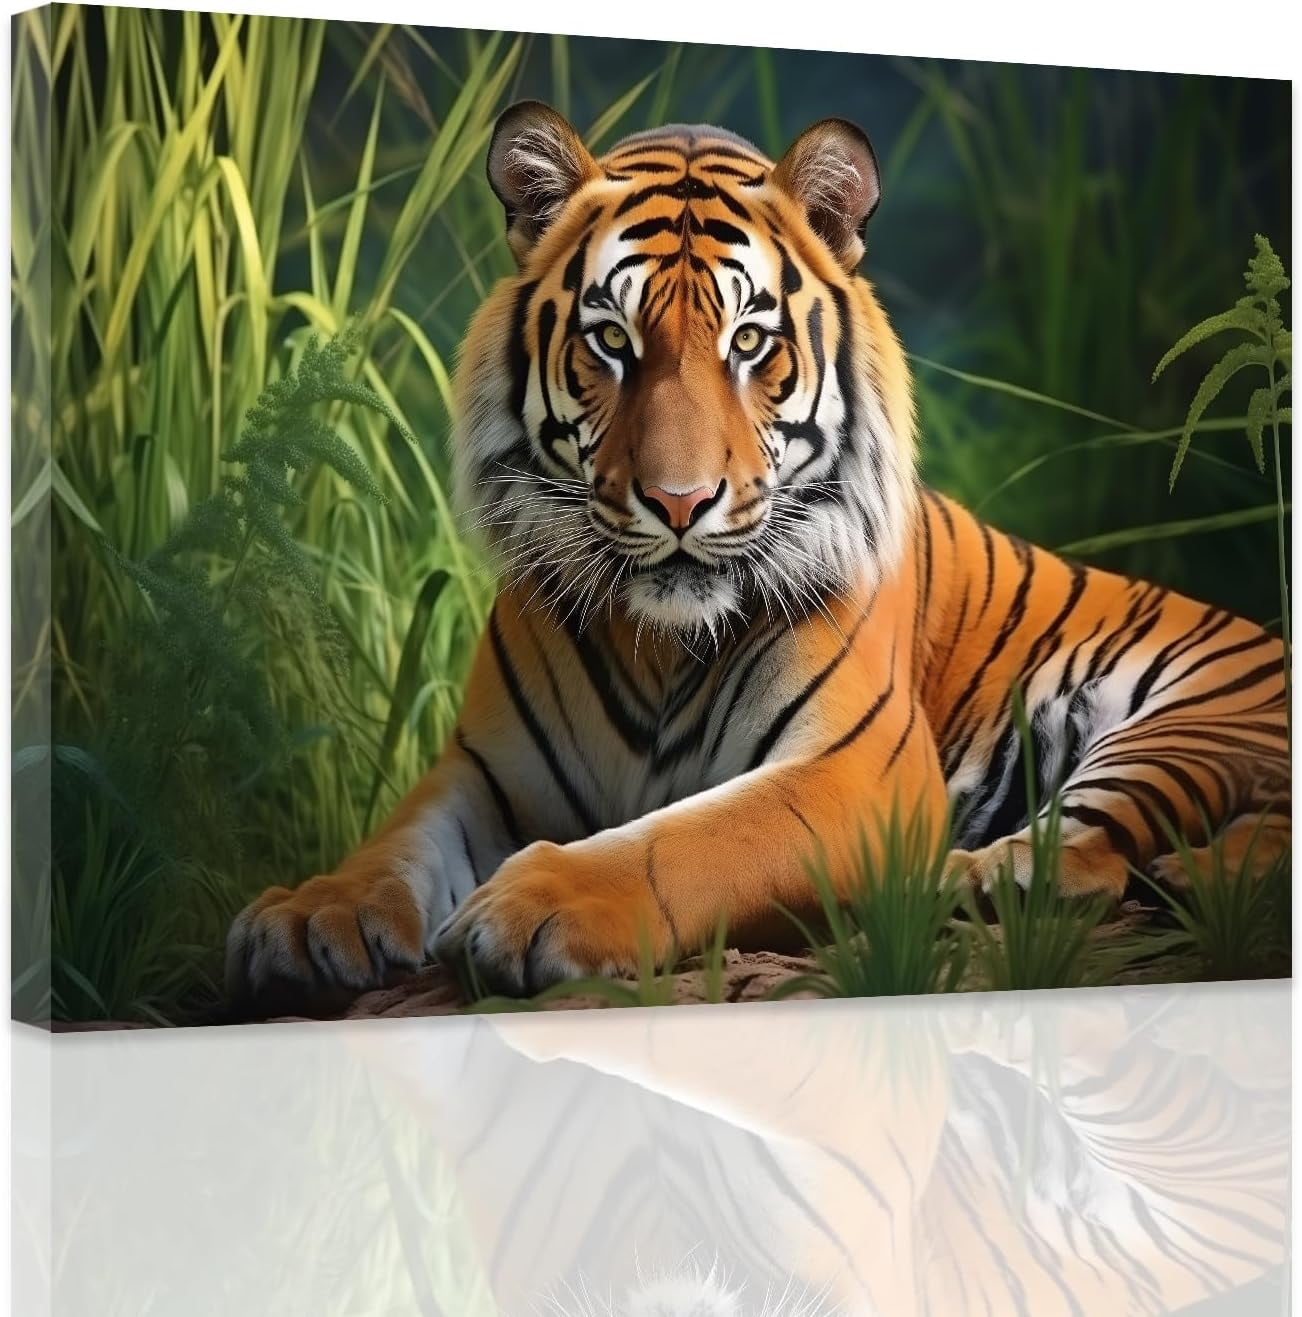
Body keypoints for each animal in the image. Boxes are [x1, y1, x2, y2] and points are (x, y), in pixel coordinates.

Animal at [225, 101, 1290, 1013]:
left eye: (749, 342)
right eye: (610, 339)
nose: (678, 501)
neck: (662, 643)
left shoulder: (854, 774)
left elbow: (685, 840)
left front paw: (538, 904)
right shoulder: (481, 769)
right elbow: (394, 845)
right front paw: (309, 916)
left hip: (1181, 724)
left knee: (1096, 848)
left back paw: (990, 873)